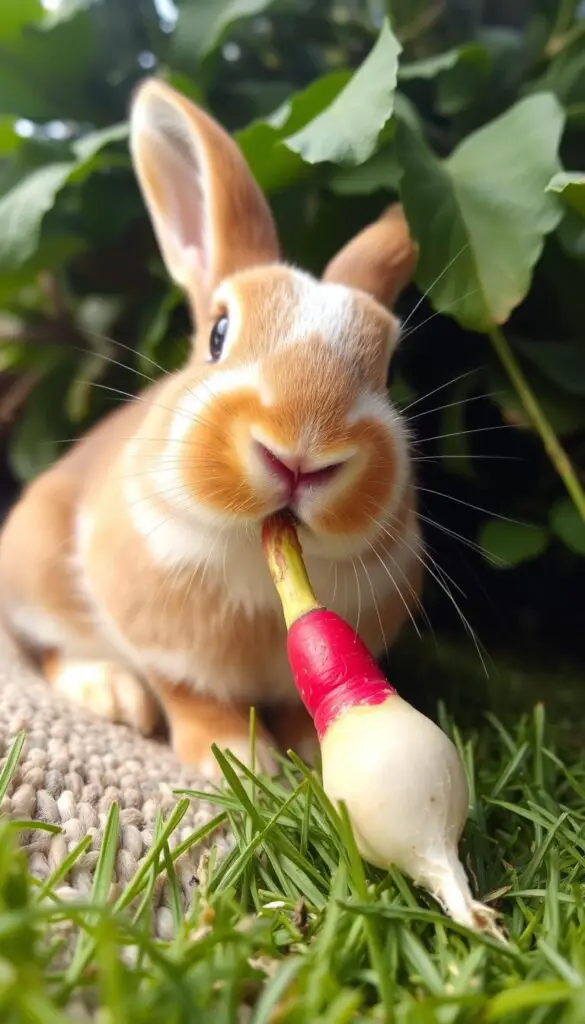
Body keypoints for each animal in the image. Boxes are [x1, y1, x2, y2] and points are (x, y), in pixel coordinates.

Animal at [0, 78, 423, 778]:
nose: (300, 454)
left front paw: (312, 754)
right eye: (218, 335)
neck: (260, 563)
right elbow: (191, 697)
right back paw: (112, 693)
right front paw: (243, 760)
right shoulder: (164, 647)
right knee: (50, 649)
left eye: (387, 368)